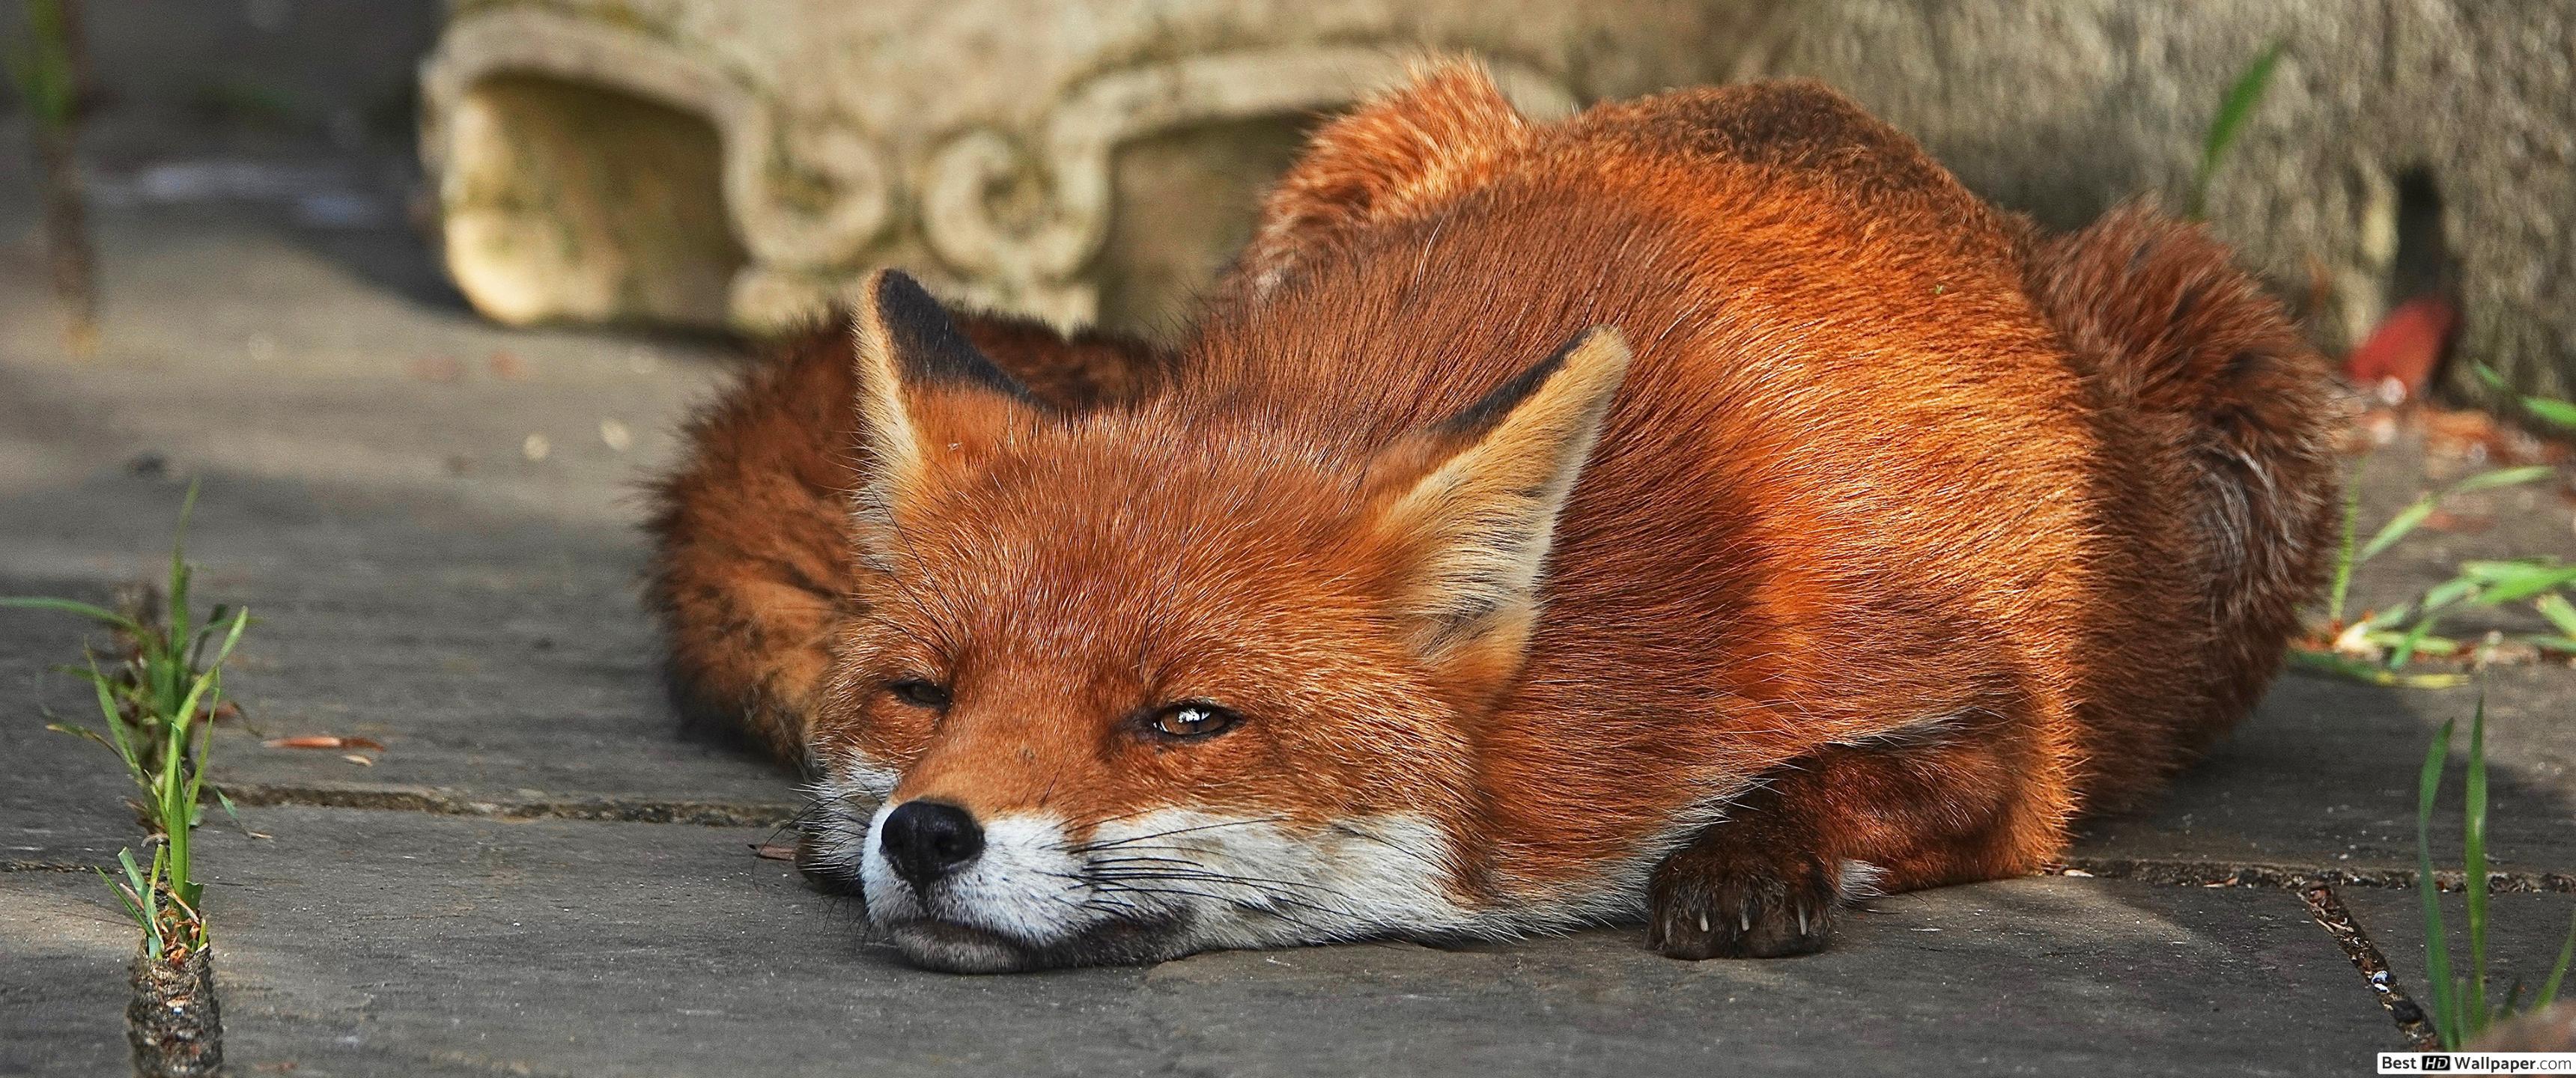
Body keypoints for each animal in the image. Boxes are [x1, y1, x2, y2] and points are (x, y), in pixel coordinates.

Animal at [646, 61, 2339, 973]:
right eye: (921, 693)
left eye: (1185, 721)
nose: (927, 832)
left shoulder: (2003, 717)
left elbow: (1874, 781)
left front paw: (1752, 853)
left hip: (2240, 394)